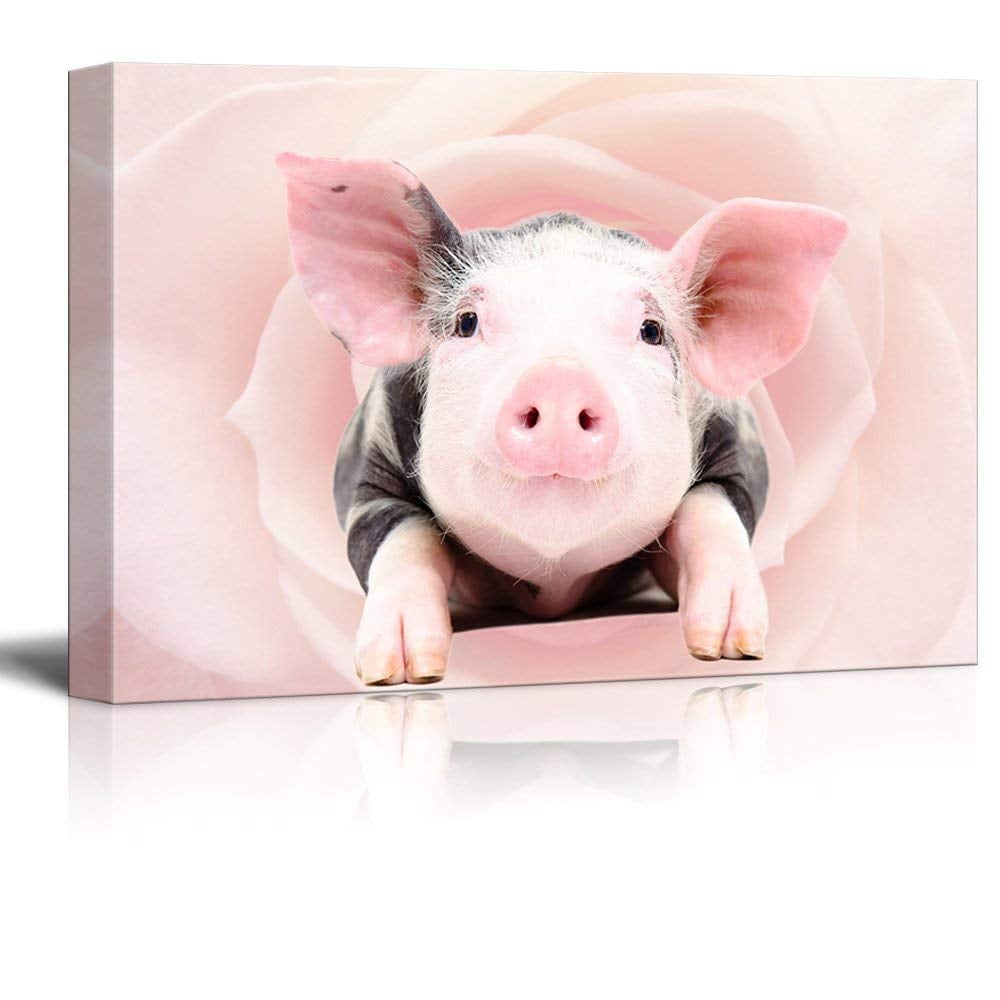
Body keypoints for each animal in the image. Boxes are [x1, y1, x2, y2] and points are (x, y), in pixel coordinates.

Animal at [277, 153, 848, 686]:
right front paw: (397, 673)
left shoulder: (738, 454)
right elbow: (399, 536)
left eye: (651, 330)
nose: (560, 375)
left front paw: (732, 649)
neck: (554, 579)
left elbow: (712, 510)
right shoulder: (366, 474)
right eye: (467, 322)